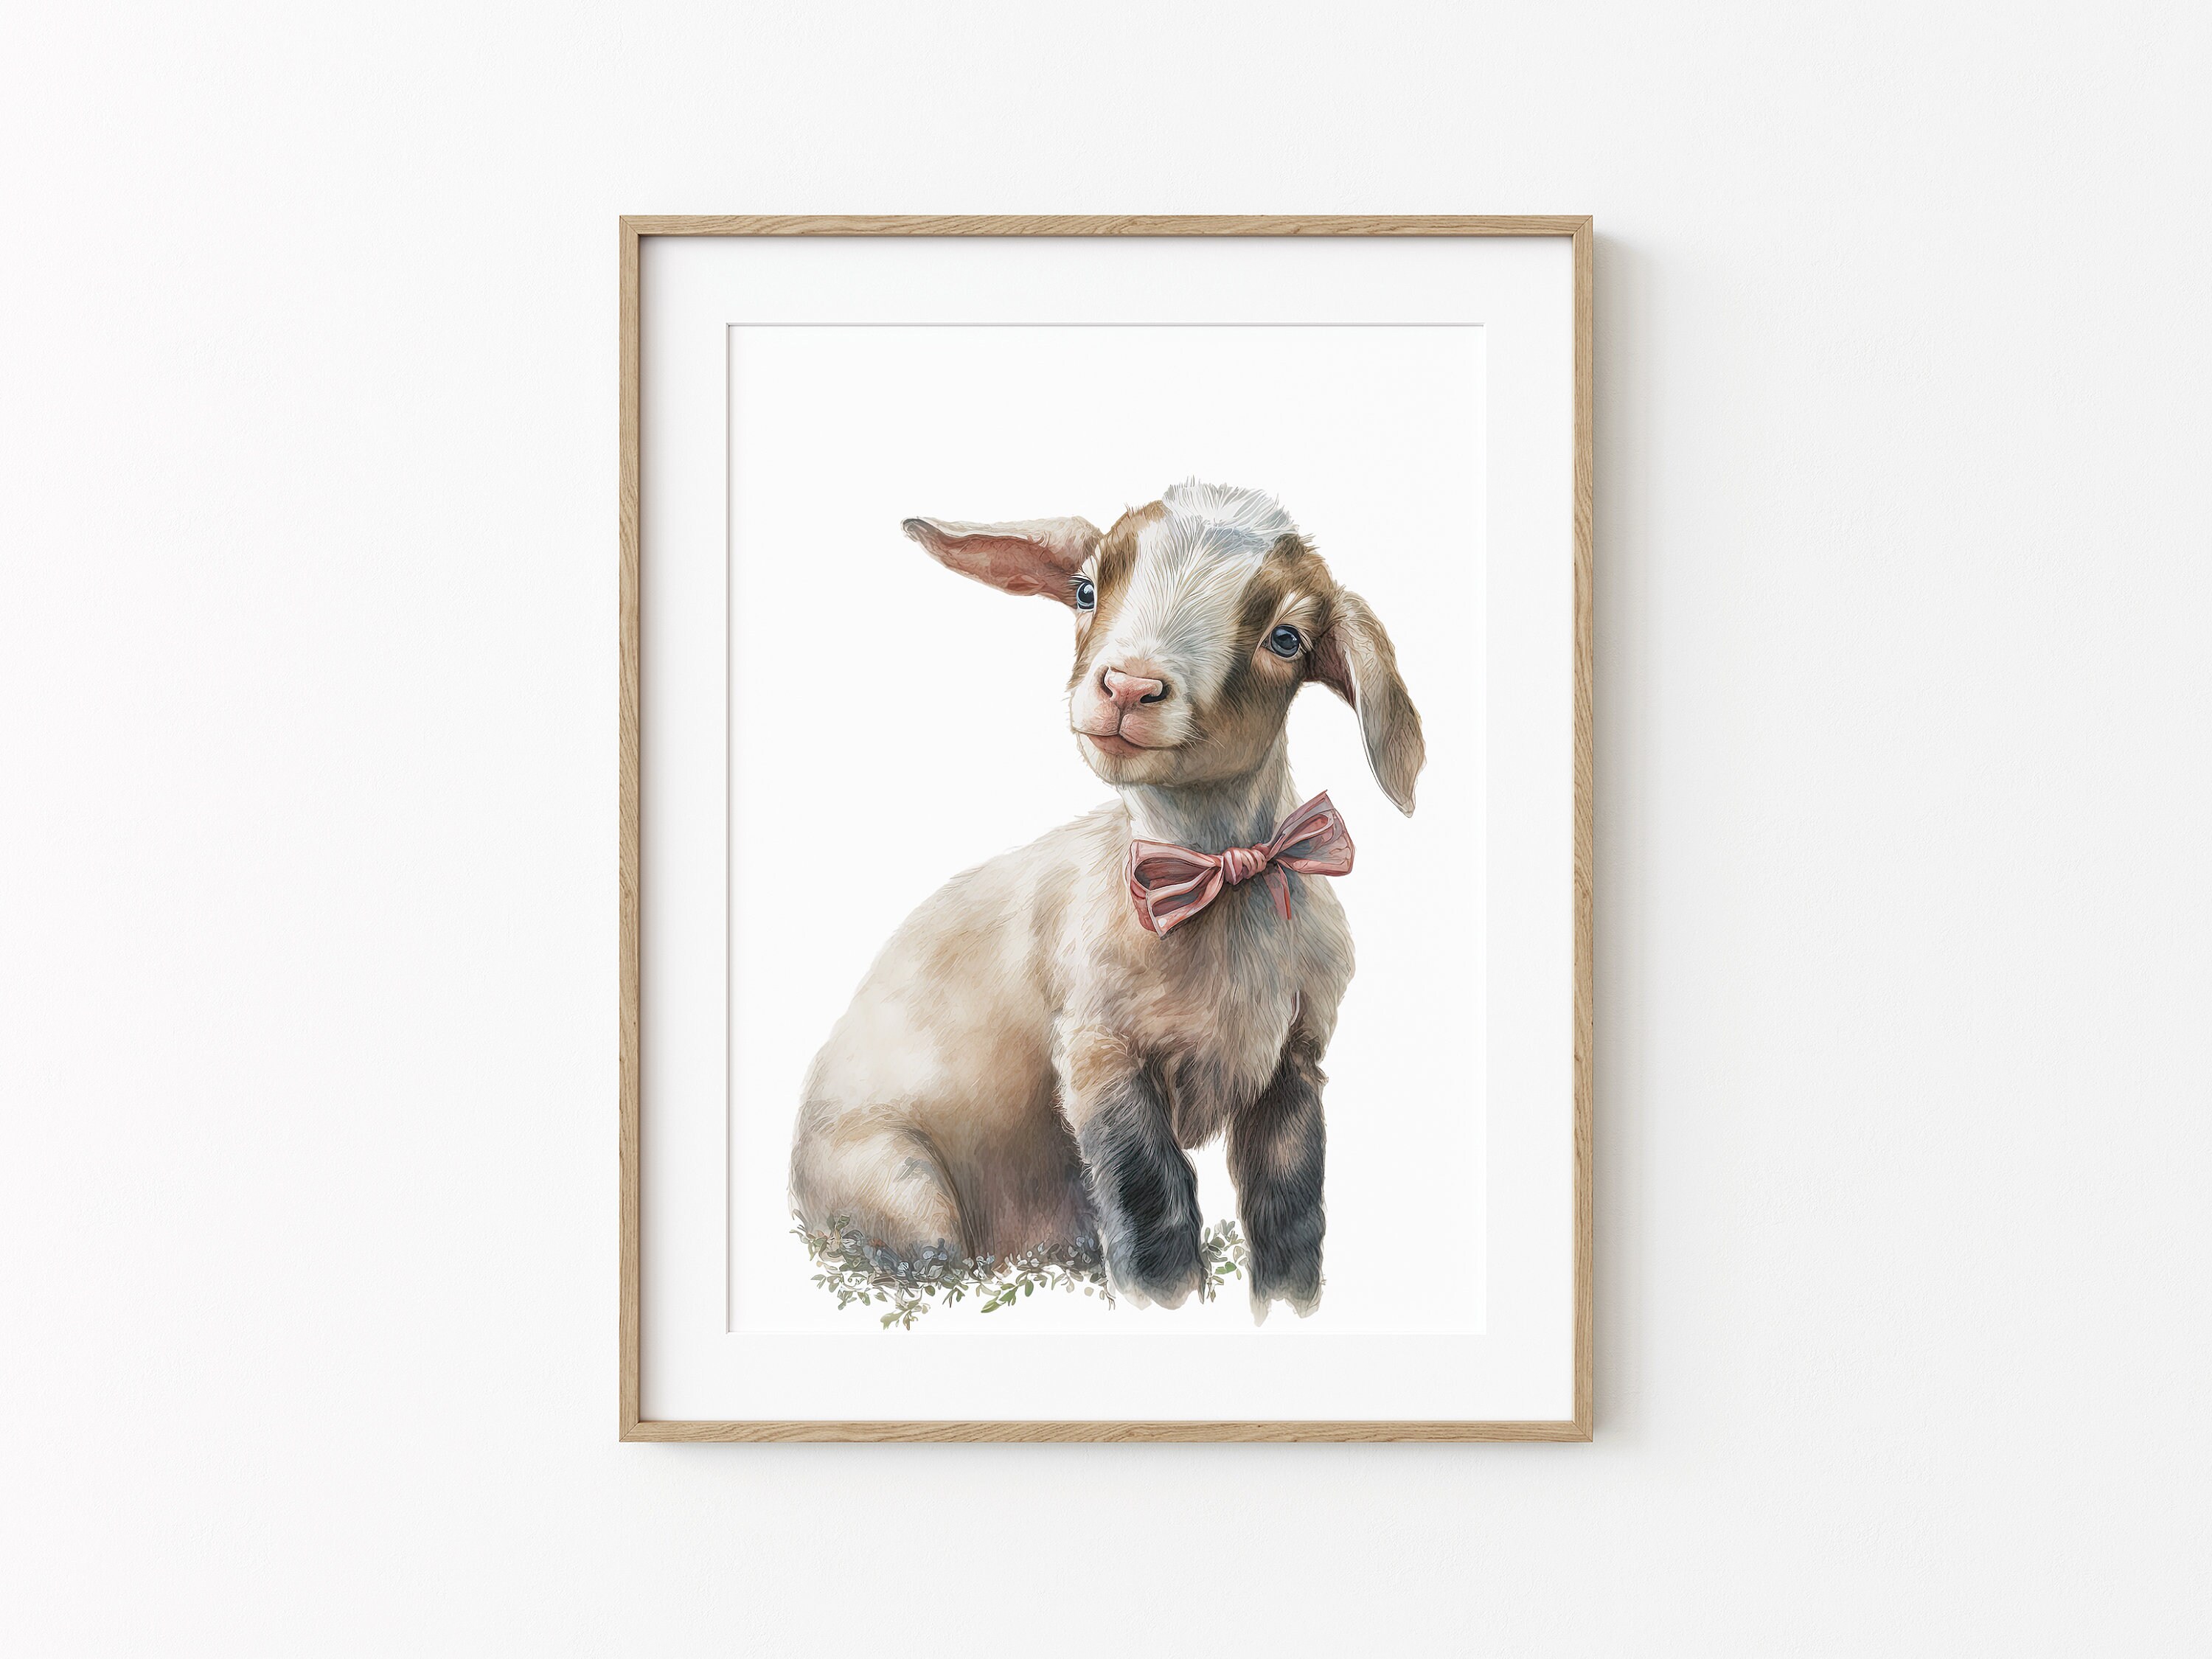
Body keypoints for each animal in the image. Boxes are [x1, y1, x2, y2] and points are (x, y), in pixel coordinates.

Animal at [788, 481, 1424, 1318]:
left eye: (1286, 638)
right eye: (1086, 590)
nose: (1127, 687)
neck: (1217, 882)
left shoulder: (1292, 1062)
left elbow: (1291, 1210)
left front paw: (1287, 1305)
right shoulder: (1098, 1054)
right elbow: (1151, 1201)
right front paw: (1167, 1300)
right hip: (901, 1189)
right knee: (922, 1265)